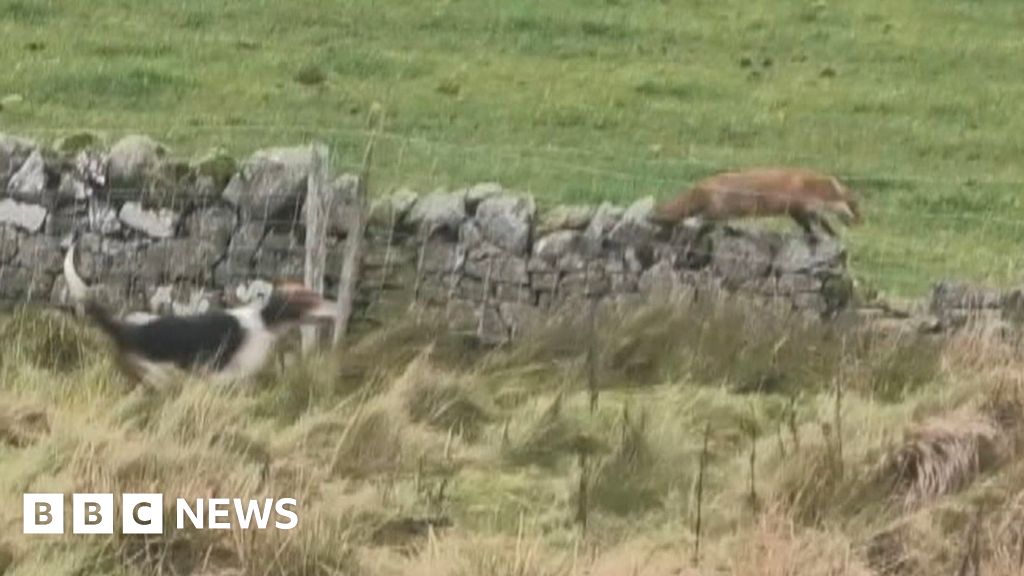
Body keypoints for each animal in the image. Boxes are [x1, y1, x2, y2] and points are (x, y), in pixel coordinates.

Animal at [648, 168, 862, 241]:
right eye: (855, 208)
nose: (860, 222)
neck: (809, 187)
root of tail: (703, 183)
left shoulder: (803, 210)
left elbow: (821, 223)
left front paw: (831, 234)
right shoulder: (798, 207)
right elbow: (810, 225)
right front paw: (819, 235)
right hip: (720, 210)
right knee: (699, 218)